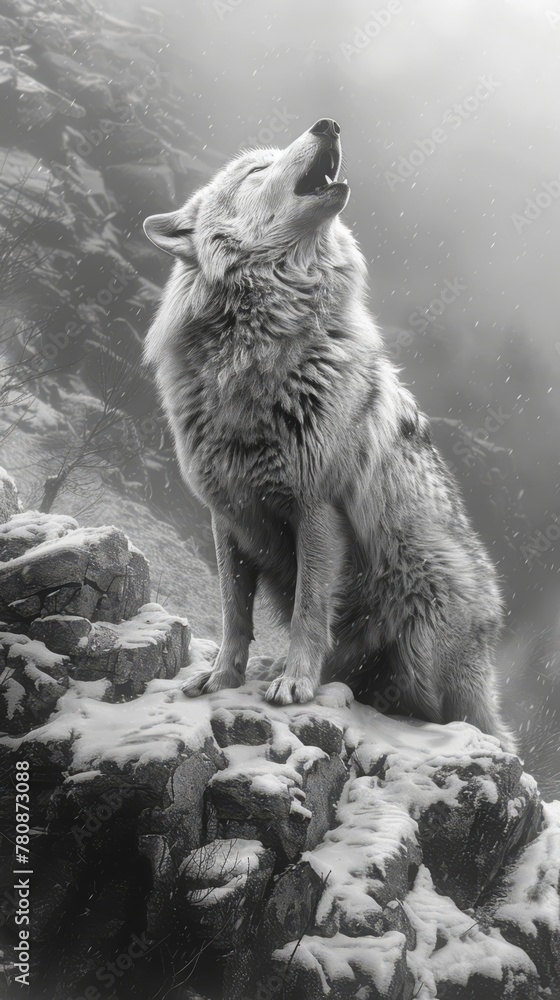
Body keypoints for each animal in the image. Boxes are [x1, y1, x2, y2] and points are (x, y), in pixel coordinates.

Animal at [143, 118, 515, 752]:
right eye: (257, 169)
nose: (329, 123)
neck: (258, 352)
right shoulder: (226, 516)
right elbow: (234, 613)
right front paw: (223, 676)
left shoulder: (318, 510)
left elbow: (308, 610)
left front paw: (295, 683)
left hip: (424, 626)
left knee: (446, 717)